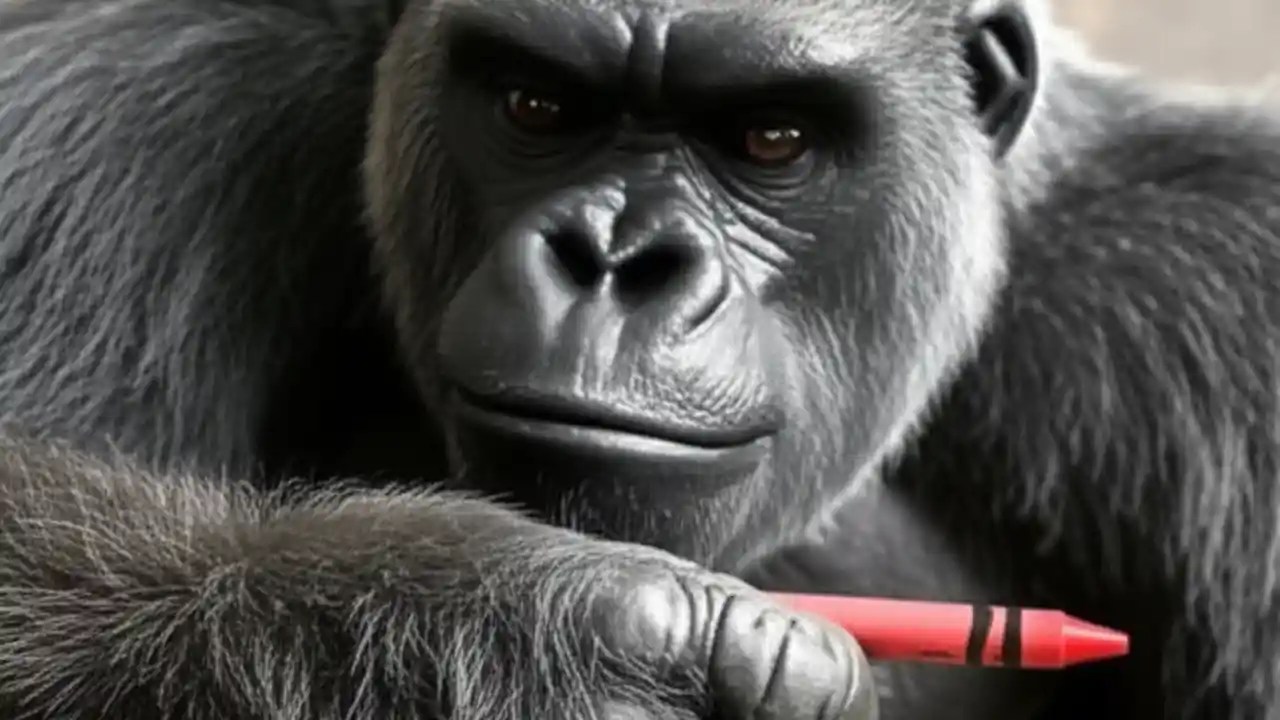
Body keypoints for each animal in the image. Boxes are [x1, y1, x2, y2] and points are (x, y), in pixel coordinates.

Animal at [0, 0, 1277, 718]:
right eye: (535, 104)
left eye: (771, 137)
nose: (614, 260)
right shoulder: (136, 105)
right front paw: (526, 645)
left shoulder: (1221, 288)